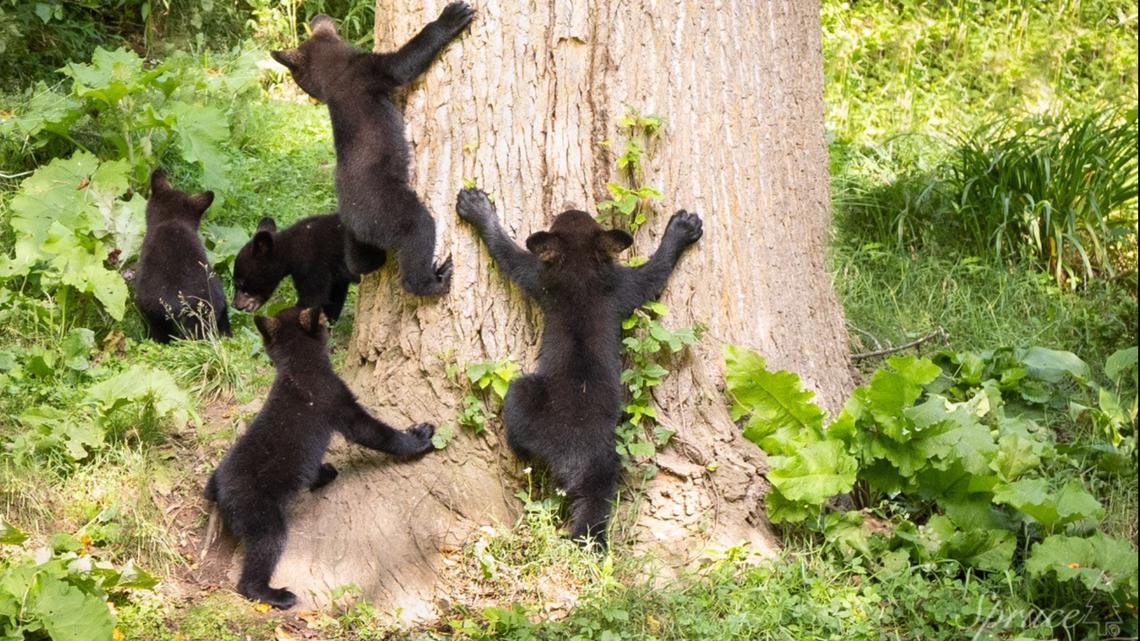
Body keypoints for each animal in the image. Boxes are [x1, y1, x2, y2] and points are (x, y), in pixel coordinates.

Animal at [204, 305, 436, 609]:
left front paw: (325, 472)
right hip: (260, 513)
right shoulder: (339, 402)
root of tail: (220, 491)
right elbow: (376, 433)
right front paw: (420, 438)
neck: (299, 365)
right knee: (258, 562)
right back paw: (276, 594)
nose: (328, 319)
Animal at [231, 214, 385, 322]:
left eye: (240, 283)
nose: (235, 305)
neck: (292, 249)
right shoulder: (335, 275)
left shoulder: (313, 264)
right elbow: (333, 299)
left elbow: (312, 298)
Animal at [270, 3, 475, 297]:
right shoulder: (371, 70)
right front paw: (452, 16)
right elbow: (403, 63)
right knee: (417, 234)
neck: (337, 75)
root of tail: (354, 219)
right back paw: (436, 280)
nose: (309, 96)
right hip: (390, 210)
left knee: (360, 262)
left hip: (356, 237)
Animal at [455, 187, 703, 548]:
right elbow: (652, 273)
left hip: (522, 394)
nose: (571, 206)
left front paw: (476, 206)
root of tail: (584, 462)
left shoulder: (545, 276)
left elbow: (507, 252)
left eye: (570, 217)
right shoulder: (620, 286)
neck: (580, 266)